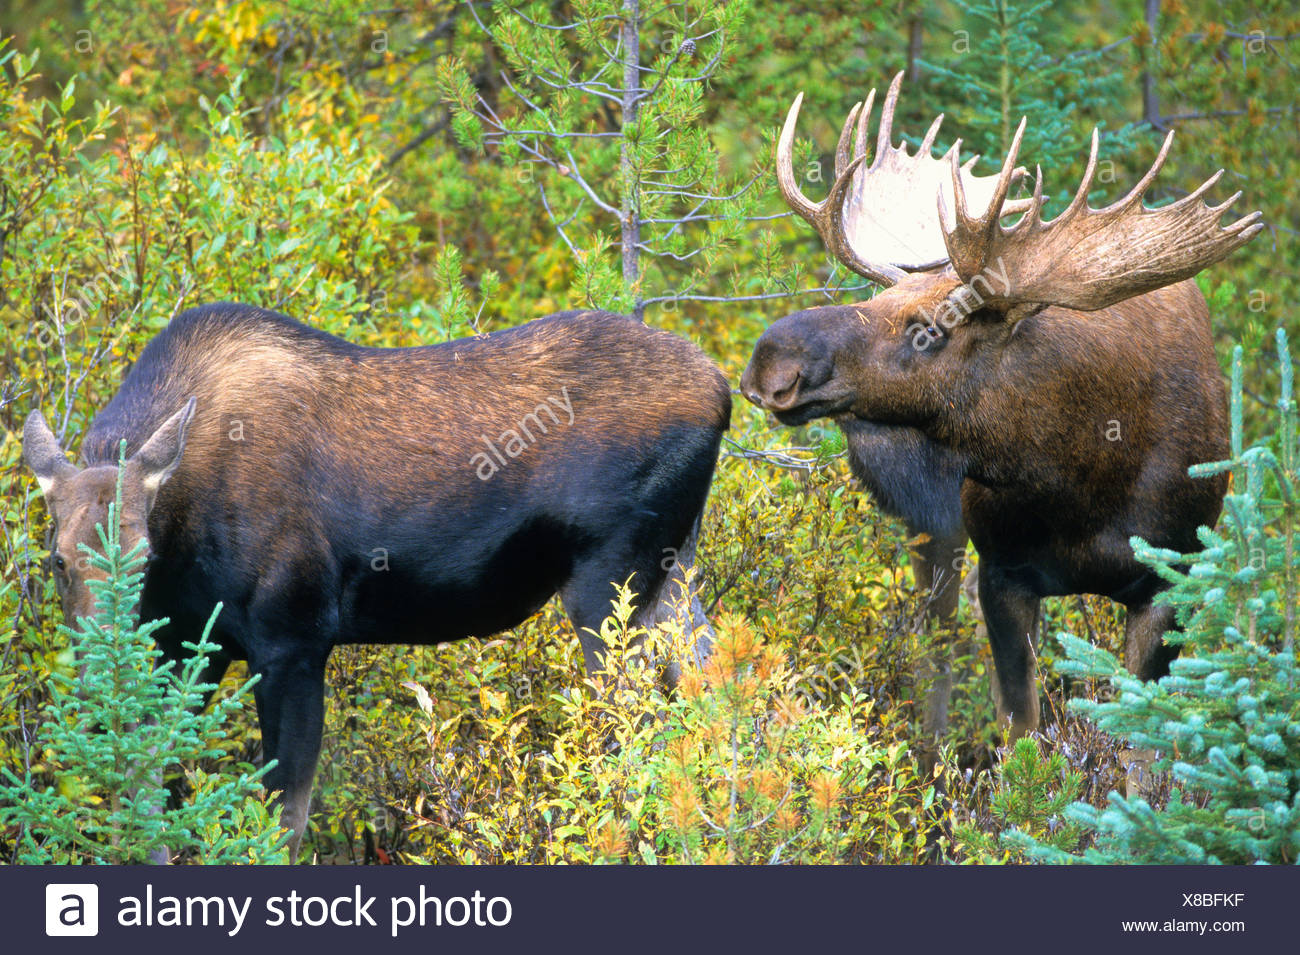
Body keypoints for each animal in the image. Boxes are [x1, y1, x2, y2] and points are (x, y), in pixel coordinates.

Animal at [23, 303, 730, 860]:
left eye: (143, 558)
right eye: (56, 560)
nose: (102, 670)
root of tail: (722, 391)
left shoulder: (294, 641)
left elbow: (283, 823)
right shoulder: (198, 645)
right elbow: (152, 799)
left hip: (611, 583)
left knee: (638, 727)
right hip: (673, 572)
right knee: (718, 688)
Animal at [741, 72, 1262, 741]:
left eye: (928, 330)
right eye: (880, 297)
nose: (771, 362)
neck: (1082, 475)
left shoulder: (1172, 578)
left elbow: (1138, 745)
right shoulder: (1001, 571)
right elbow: (1022, 733)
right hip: (930, 529)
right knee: (932, 656)